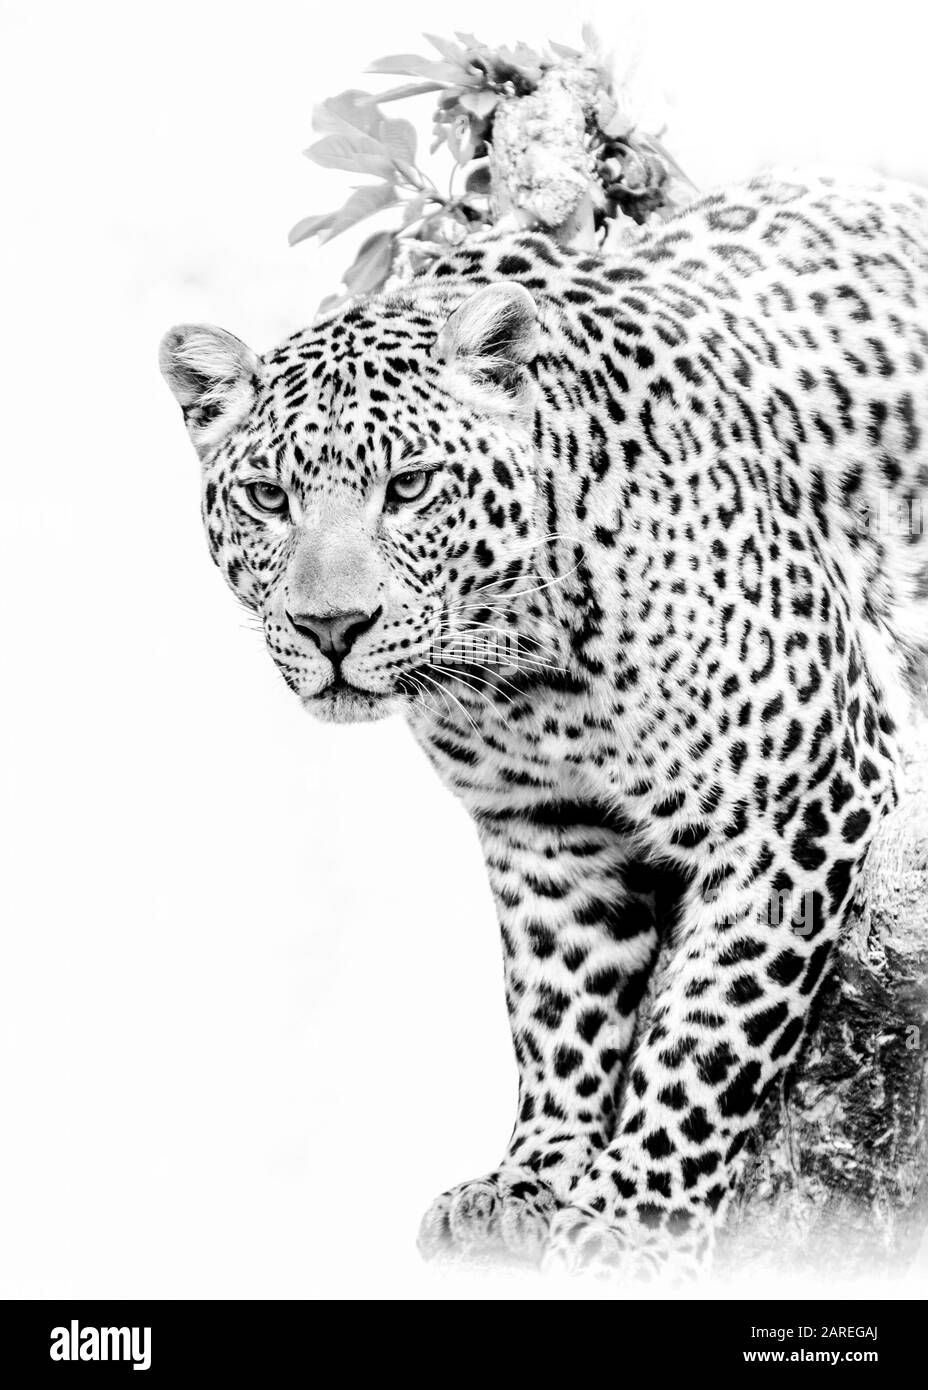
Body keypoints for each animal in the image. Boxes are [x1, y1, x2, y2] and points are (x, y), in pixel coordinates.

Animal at [160, 170, 928, 1279]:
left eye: (409, 486)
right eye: (267, 497)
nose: (330, 626)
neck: (522, 671)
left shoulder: (800, 800)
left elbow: (713, 1031)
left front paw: (636, 1217)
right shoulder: (546, 829)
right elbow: (559, 1005)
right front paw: (533, 1176)